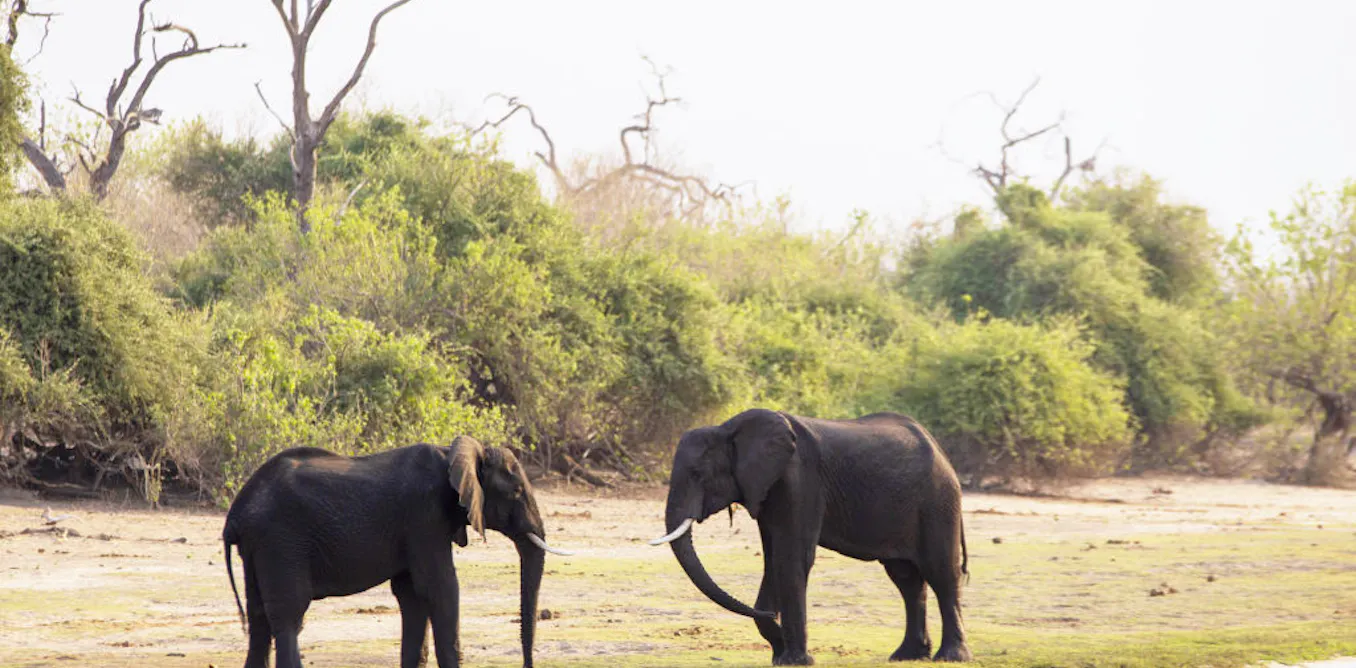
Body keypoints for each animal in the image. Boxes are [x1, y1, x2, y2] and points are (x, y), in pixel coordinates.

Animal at [222, 437, 571, 668]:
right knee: (288, 617)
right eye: (516, 492)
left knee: (259, 621)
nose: (528, 665)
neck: (456, 454)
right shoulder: (425, 516)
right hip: (281, 541)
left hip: (259, 548)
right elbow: (441, 587)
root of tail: (235, 514)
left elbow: (412, 594)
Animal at [651, 409, 971, 664]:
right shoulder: (768, 490)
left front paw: (795, 660)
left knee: (941, 572)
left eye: (697, 474)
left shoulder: (800, 482)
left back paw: (950, 657)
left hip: (938, 501)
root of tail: (941, 450)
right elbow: (774, 561)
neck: (728, 429)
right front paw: (779, 653)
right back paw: (907, 656)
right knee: (907, 579)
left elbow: (792, 558)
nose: (773, 619)